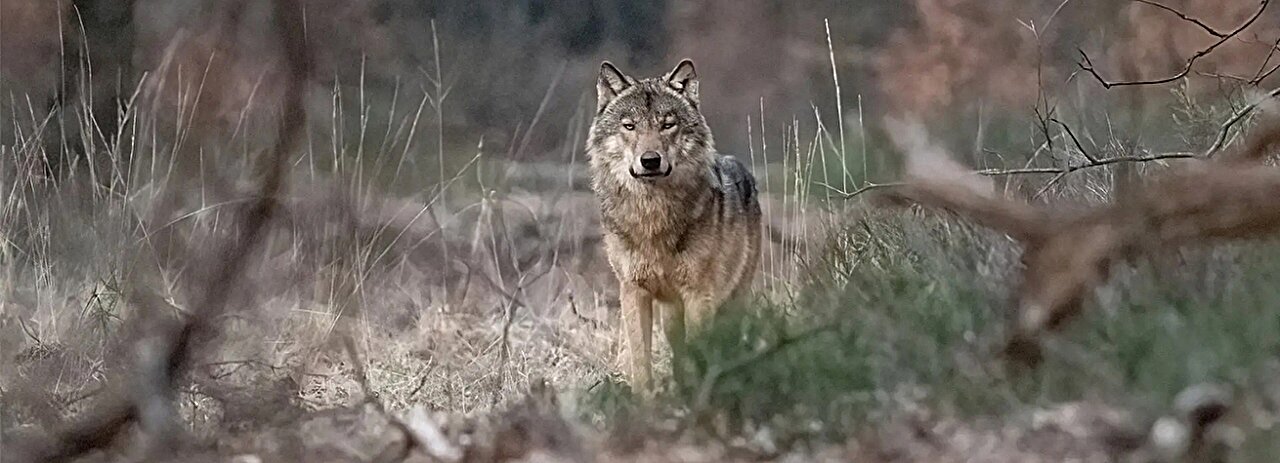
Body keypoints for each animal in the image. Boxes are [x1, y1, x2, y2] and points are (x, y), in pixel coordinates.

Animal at [586, 59, 762, 391]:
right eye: (630, 126)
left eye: (668, 125)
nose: (650, 160)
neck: (653, 217)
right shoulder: (633, 292)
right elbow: (641, 361)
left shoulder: (698, 295)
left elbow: (698, 353)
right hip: (670, 315)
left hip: (732, 300)